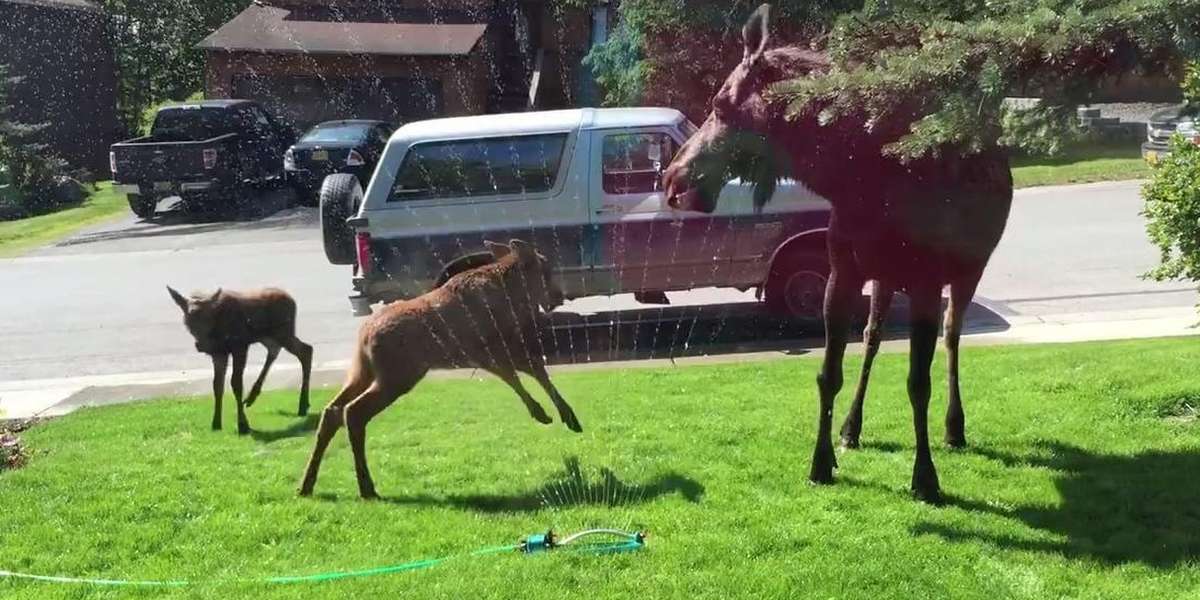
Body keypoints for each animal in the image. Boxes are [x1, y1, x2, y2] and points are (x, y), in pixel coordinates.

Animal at [167, 286, 313, 434]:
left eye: (207, 318)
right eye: (187, 318)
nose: (200, 345)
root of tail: (292, 300)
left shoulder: (240, 346)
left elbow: (236, 383)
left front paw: (243, 425)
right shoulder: (218, 352)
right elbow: (217, 385)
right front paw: (216, 423)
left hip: (283, 332)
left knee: (305, 350)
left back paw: (302, 405)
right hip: (267, 336)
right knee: (278, 351)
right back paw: (254, 397)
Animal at [298, 239, 581, 500]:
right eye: (546, 271)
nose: (559, 296)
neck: (510, 296)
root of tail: (364, 337)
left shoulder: (483, 353)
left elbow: (523, 373)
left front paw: (553, 415)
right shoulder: (491, 345)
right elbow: (530, 369)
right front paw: (557, 414)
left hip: (362, 371)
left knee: (332, 411)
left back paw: (306, 485)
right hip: (397, 374)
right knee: (353, 412)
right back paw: (366, 488)